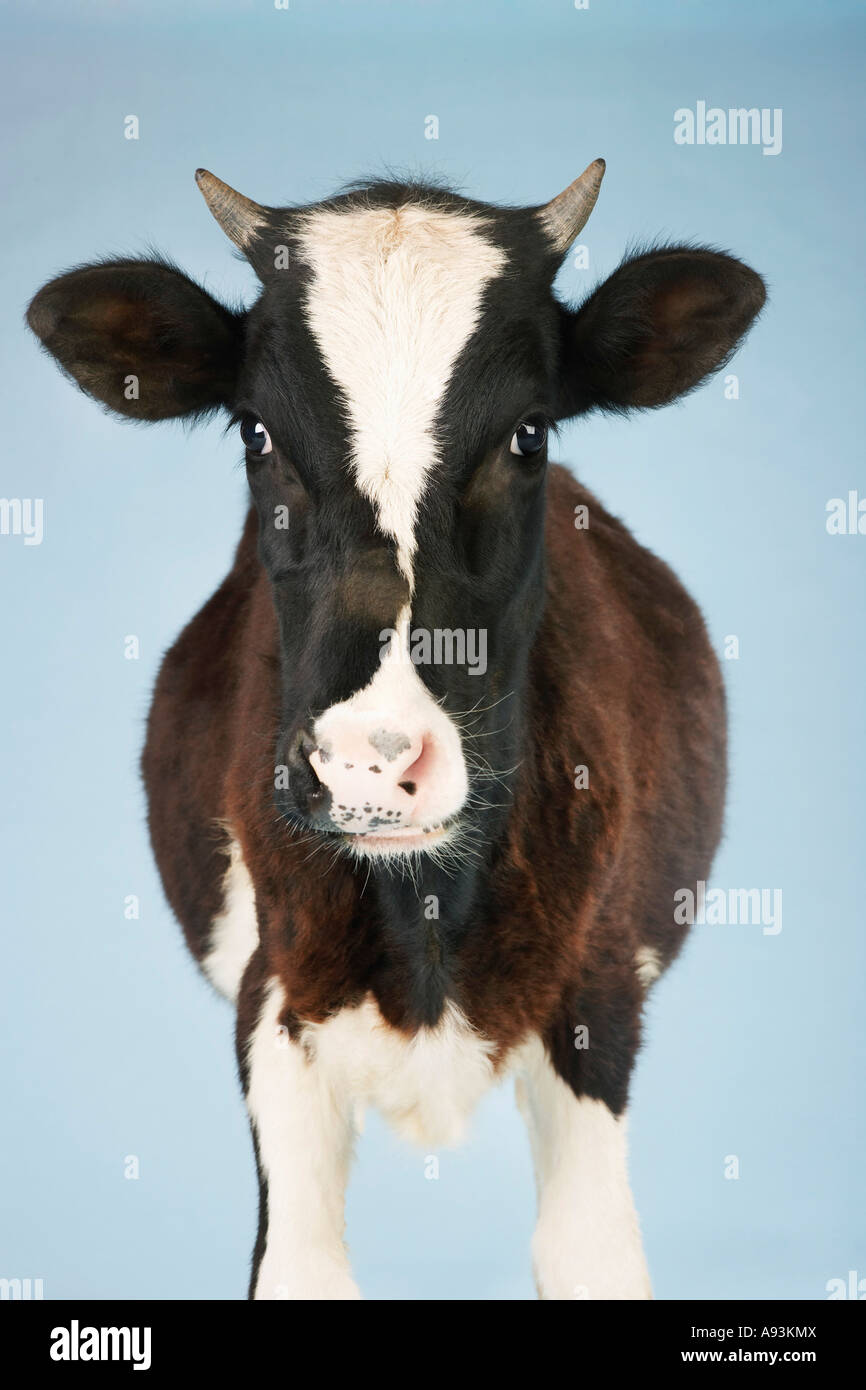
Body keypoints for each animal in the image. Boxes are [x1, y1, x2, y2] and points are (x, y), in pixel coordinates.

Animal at [27, 159, 765, 1300]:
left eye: (529, 433)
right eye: (254, 433)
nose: (367, 766)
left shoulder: (598, 999)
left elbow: (588, 1251)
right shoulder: (272, 1001)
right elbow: (302, 1267)